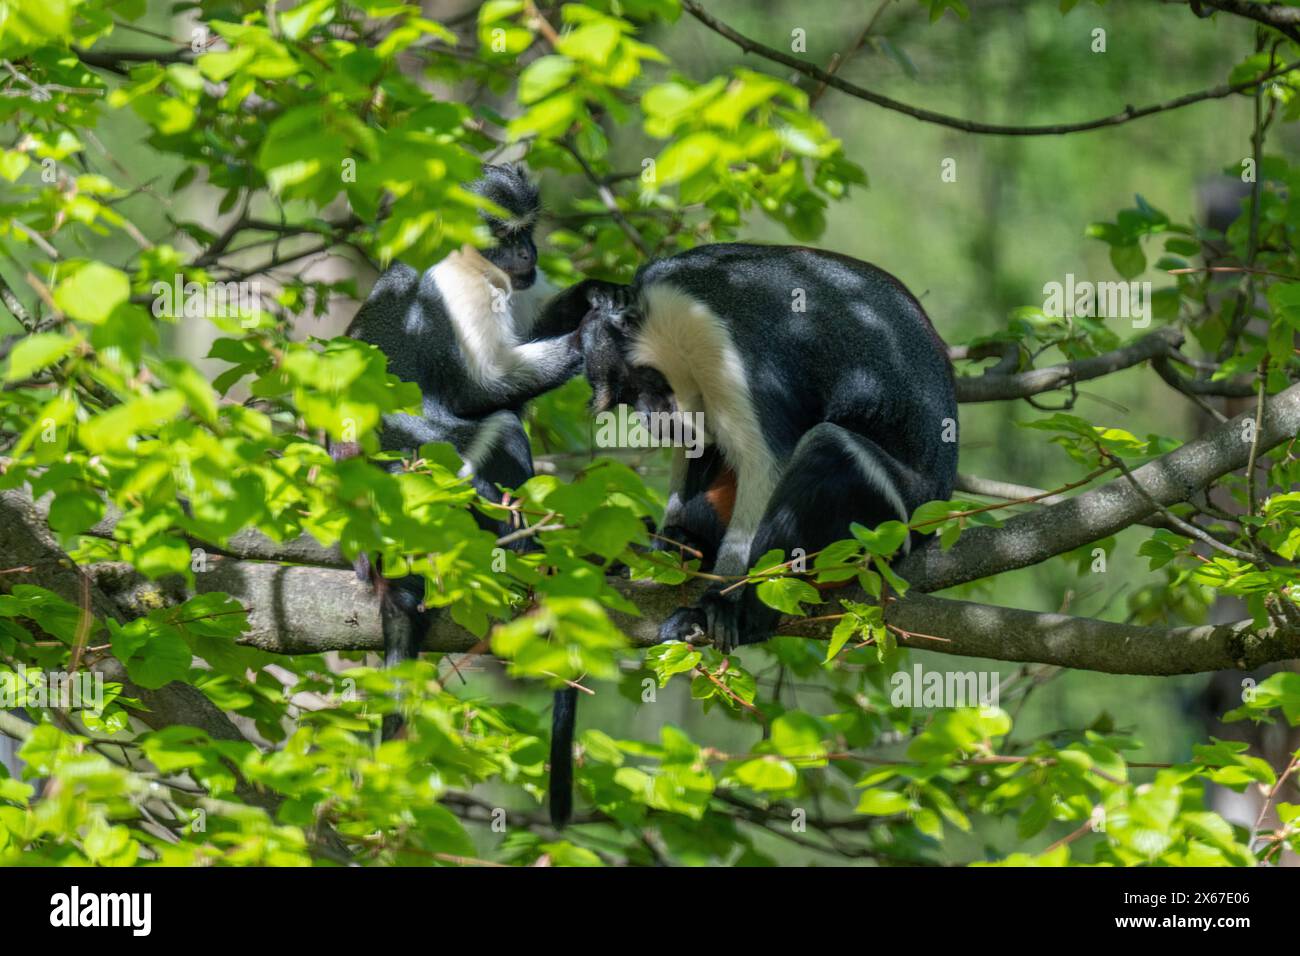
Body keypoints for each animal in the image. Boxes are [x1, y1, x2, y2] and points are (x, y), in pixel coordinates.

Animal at [334, 163, 604, 825]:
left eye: (528, 230)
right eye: (502, 233)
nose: (528, 255)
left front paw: (594, 295)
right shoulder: (455, 289)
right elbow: (479, 389)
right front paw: (589, 330)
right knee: (500, 424)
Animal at [577, 243, 959, 652]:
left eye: (641, 383)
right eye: (625, 397)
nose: (651, 419)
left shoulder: (726, 345)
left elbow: (765, 462)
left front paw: (723, 600)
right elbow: (699, 445)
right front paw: (668, 543)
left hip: (888, 524)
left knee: (830, 447)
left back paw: (745, 616)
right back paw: (687, 542)